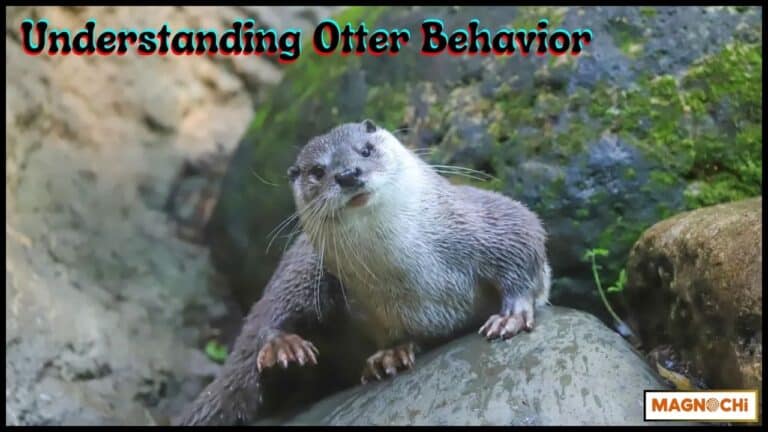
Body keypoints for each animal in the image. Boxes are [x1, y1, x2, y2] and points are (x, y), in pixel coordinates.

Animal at [177, 120, 551, 425]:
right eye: (317, 171)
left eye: (366, 149)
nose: (348, 174)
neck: (413, 272)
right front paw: (391, 353)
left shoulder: (485, 220)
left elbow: (525, 236)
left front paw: (512, 316)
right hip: (305, 271)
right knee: (266, 316)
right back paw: (283, 348)